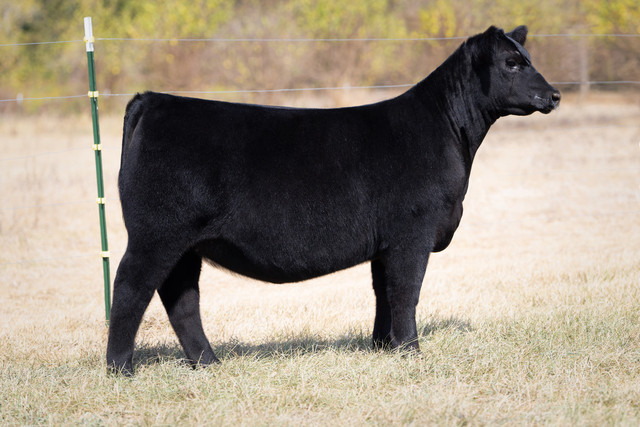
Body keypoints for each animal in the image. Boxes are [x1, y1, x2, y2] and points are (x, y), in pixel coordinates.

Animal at [107, 25, 560, 375]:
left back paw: (208, 363)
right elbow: (406, 290)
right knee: (131, 288)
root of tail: (153, 99)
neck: (449, 130)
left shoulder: (386, 241)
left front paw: (383, 347)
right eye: (511, 63)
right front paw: (411, 352)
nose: (554, 94)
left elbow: (383, 292)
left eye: (528, 57)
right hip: (156, 233)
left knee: (181, 298)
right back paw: (120, 369)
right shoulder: (413, 231)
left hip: (185, 244)